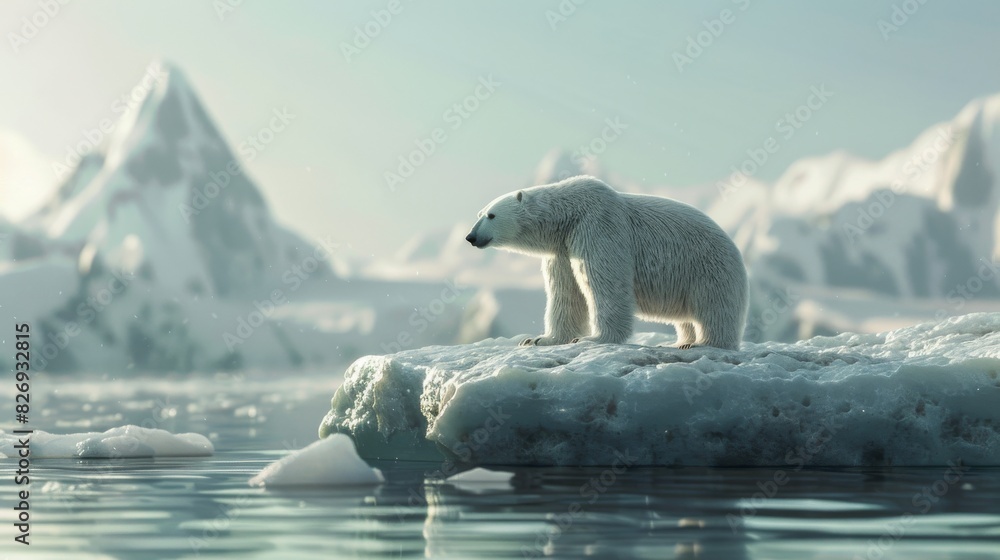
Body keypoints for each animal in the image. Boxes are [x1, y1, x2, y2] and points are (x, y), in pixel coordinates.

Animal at [465, 175, 749, 350]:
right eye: (479, 214)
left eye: (492, 215)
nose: (471, 237)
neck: (570, 214)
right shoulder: (563, 247)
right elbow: (565, 292)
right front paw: (539, 339)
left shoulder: (599, 226)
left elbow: (603, 283)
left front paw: (592, 339)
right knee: (686, 317)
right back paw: (681, 341)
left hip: (708, 268)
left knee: (713, 307)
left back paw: (704, 343)